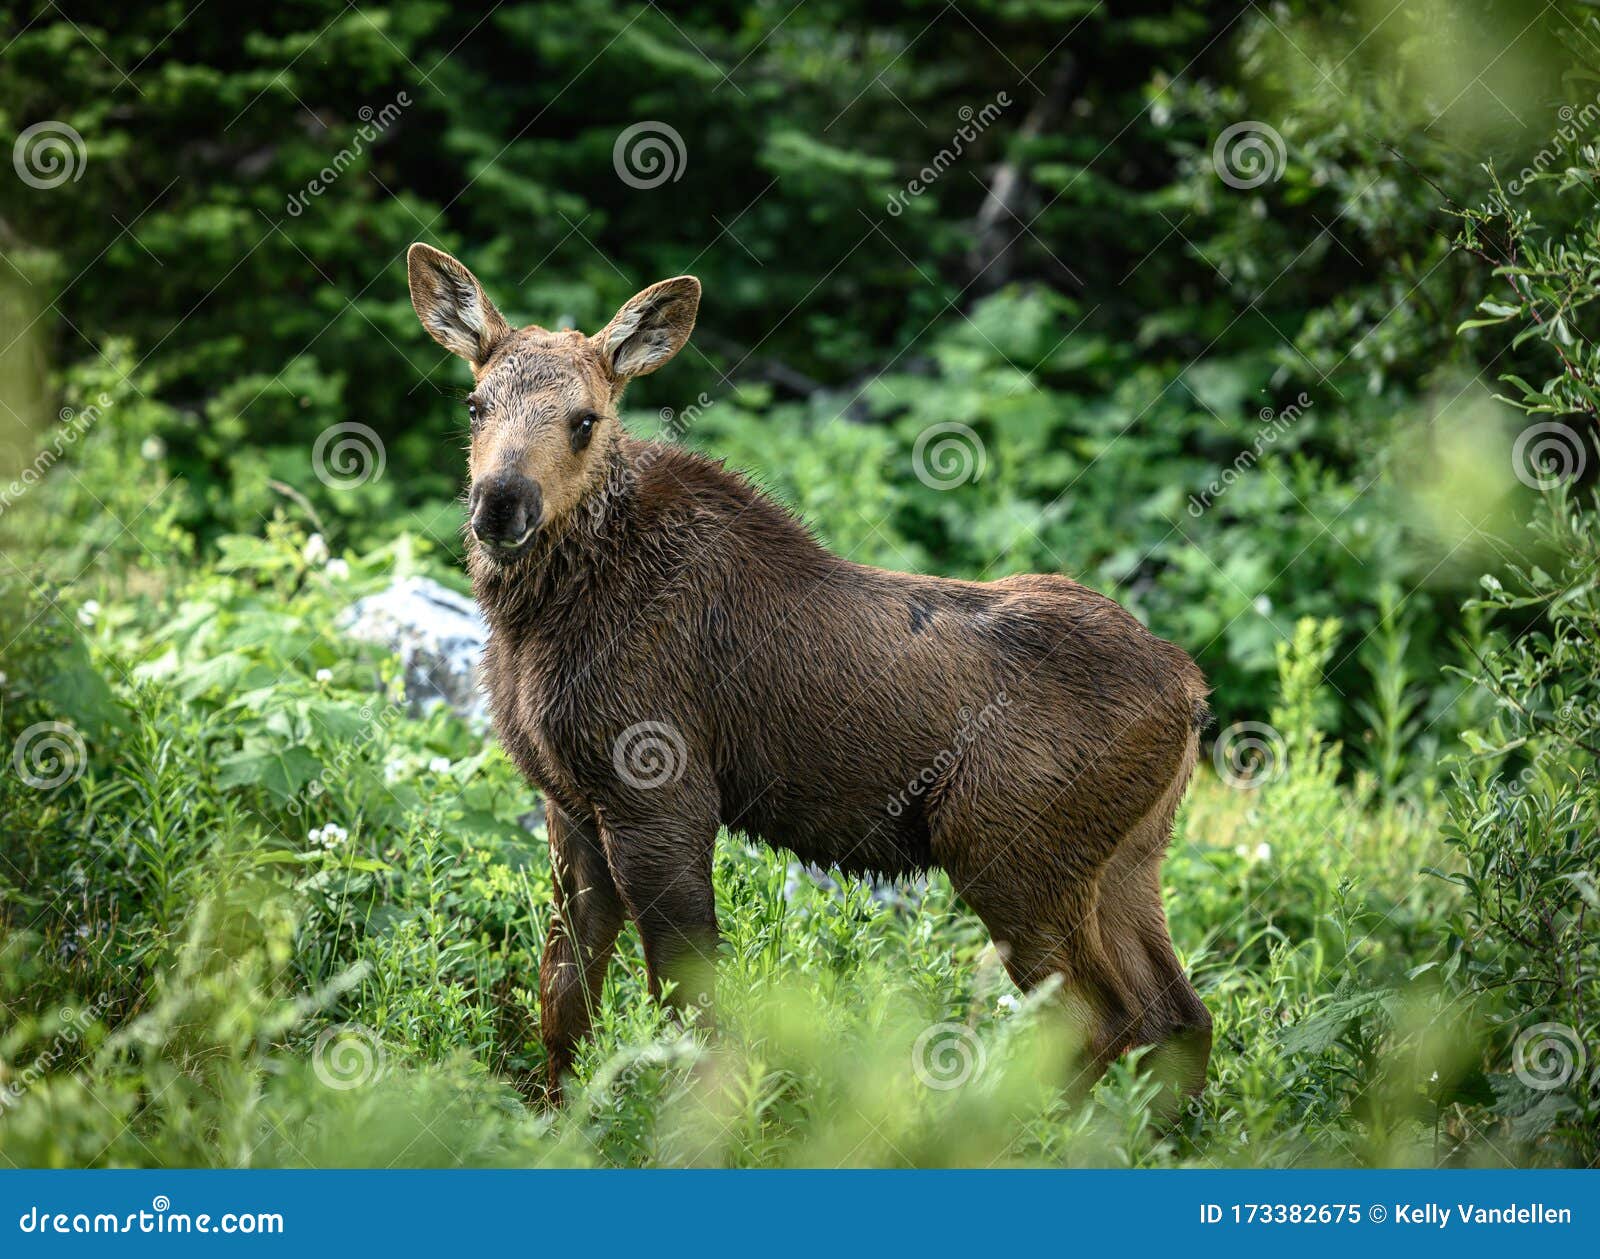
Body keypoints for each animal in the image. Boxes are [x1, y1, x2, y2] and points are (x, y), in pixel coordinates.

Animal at [406, 242, 1214, 1103]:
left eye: (585, 419)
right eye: (475, 404)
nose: (501, 502)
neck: (536, 623)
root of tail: (1192, 693)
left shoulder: (662, 796)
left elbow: (688, 1007)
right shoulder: (568, 802)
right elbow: (564, 999)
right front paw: (559, 1117)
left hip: (1014, 853)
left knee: (1096, 1022)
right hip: (1126, 859)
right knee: (1178, 1016)